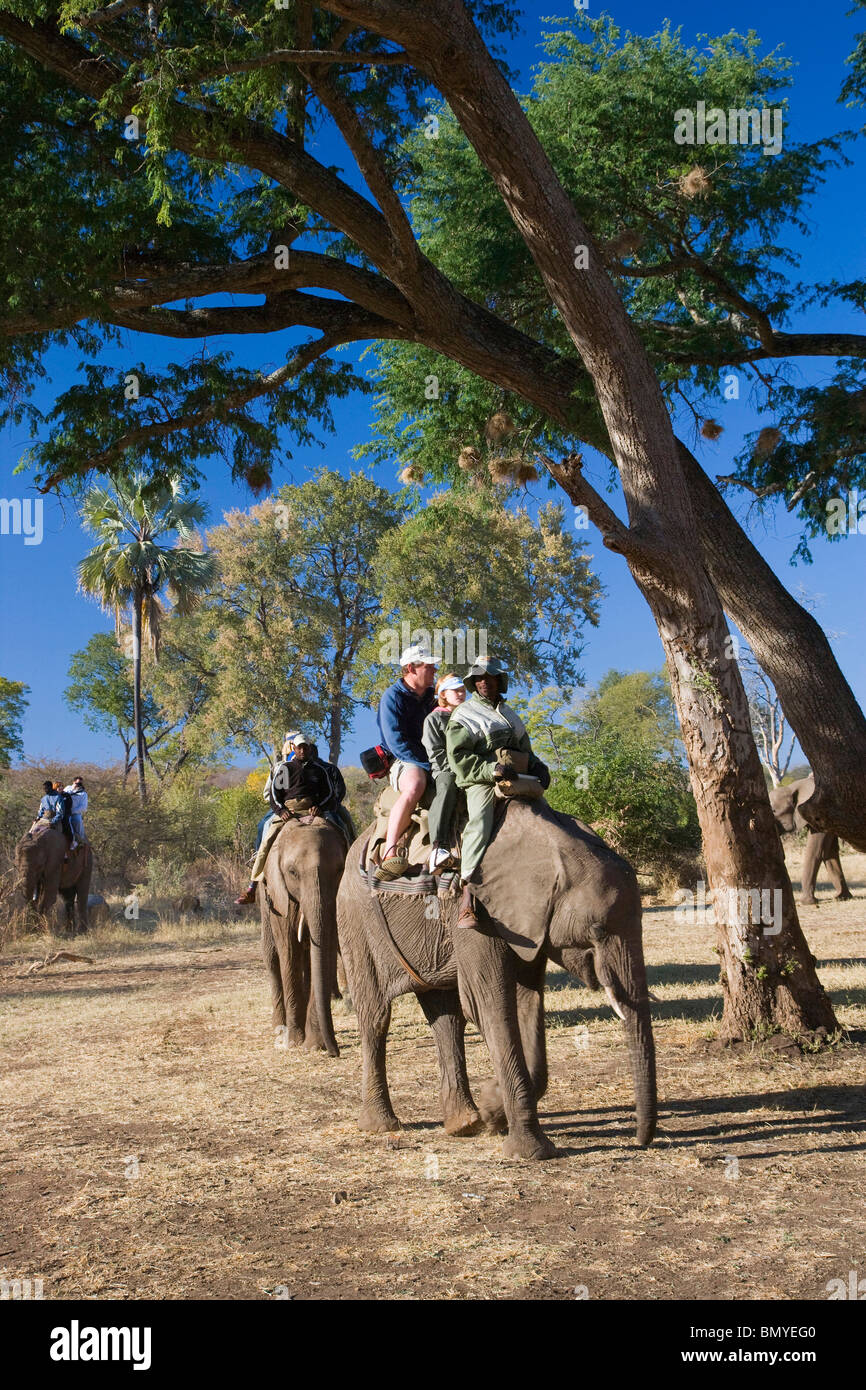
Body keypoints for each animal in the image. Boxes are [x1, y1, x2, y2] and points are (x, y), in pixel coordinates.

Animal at [259, 816, 349, 1059]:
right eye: (292, 872)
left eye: (340, 869)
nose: (335, 1052)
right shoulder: (280, 893)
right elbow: (288, 949)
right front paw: (294, 1042)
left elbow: (326, 945)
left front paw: (314, 1045)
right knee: (272, 955)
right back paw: (278, 1028)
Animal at [336, 798, 656, 1161]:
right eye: (597, 930)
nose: (640, 1141)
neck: (549, 839)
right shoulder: (473, 911)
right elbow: (487, 1004)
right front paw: (531, 1151)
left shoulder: (525, 923)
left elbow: (526, 1001)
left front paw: (492, 1109)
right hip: (356, 921)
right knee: (376, 1016)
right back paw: (381, 1125)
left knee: (446, 1018)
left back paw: (465, 1124)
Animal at [769, 775, 852, 907]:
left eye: (773, 811)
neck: (792, 787)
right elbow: (829, 853)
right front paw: (841, 897)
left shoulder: (820, 814)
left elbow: (815, 852)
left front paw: (807, 902)